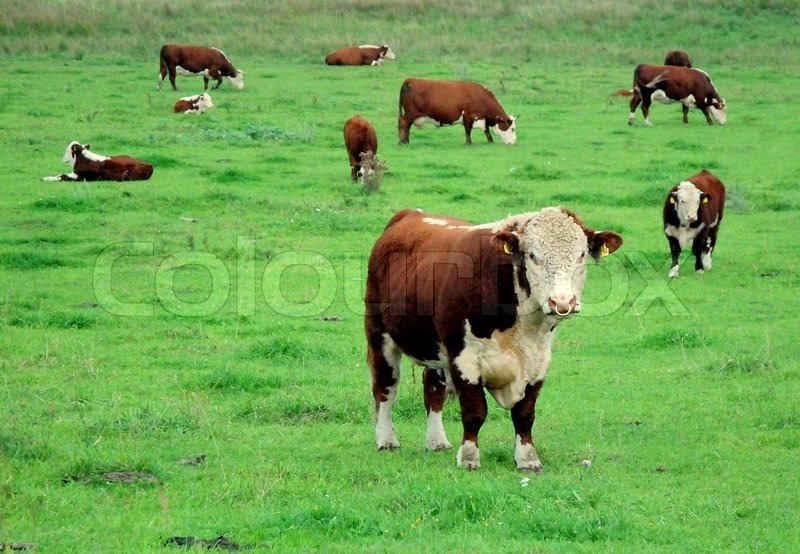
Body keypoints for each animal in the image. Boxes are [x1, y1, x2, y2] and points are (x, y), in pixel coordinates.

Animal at [365, 207, 623, 471]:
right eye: (533, 256)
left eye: (581, 255)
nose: (562, 302)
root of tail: (410, 214)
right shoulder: (463, 358)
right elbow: (474, 411)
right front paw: (469, 457)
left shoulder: (539, 361)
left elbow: (524, 414)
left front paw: (528, 459)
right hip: (379, 334)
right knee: (385, 387)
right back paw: (386, 439)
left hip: (434, 348)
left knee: (433, 389)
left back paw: (436, 441)